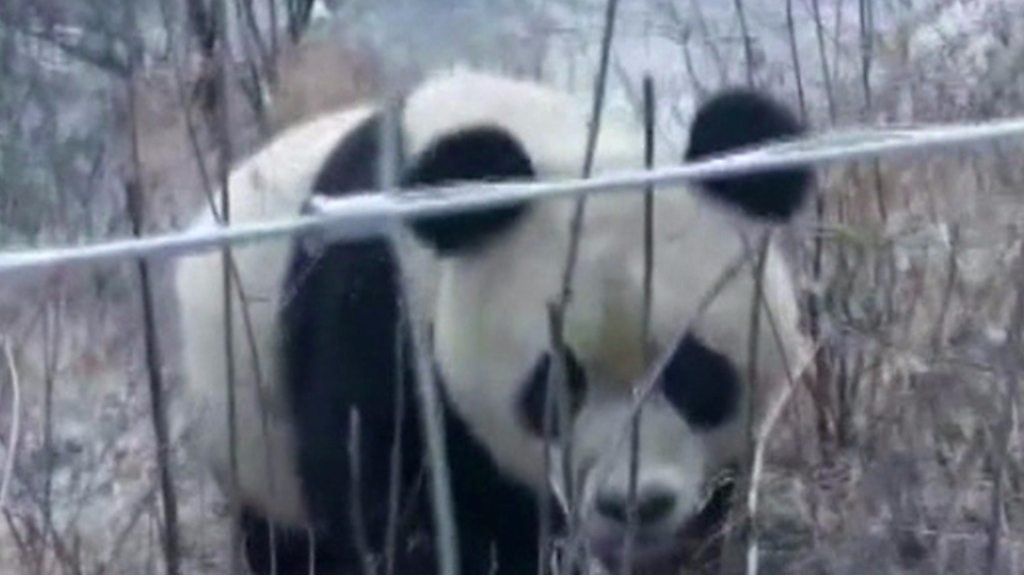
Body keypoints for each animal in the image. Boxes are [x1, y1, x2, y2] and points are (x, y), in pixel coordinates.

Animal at [174, 70, 811, 574]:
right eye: (556, 386)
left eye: (691, 371)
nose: (636, 504)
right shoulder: (374, 310)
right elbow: (385, 492)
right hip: (244, 432)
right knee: (283, 537)